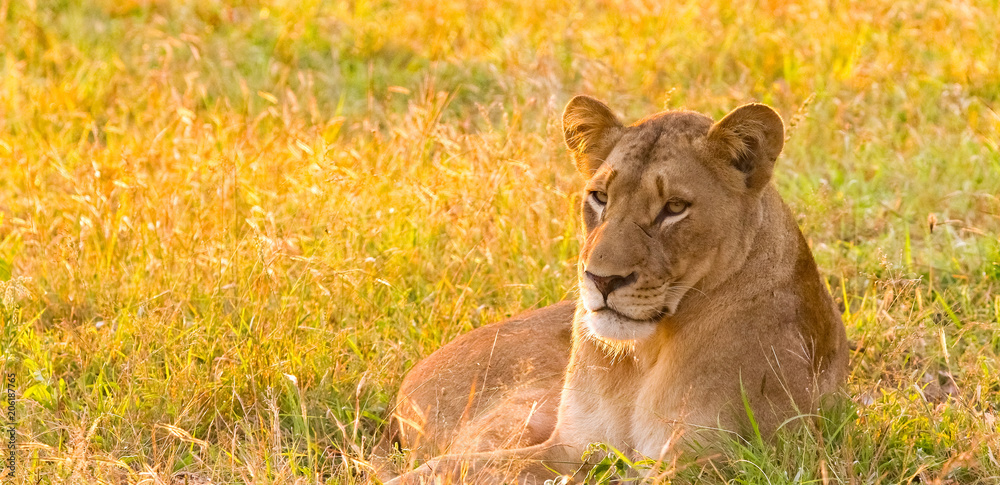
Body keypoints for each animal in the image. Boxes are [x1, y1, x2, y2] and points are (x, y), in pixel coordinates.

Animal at [375, 96, 849, 483]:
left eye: (674, 208)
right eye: (600, 197)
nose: (602, 279)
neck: (642, 357)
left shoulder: (711, 459)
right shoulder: (569, 447)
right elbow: (446, 470)